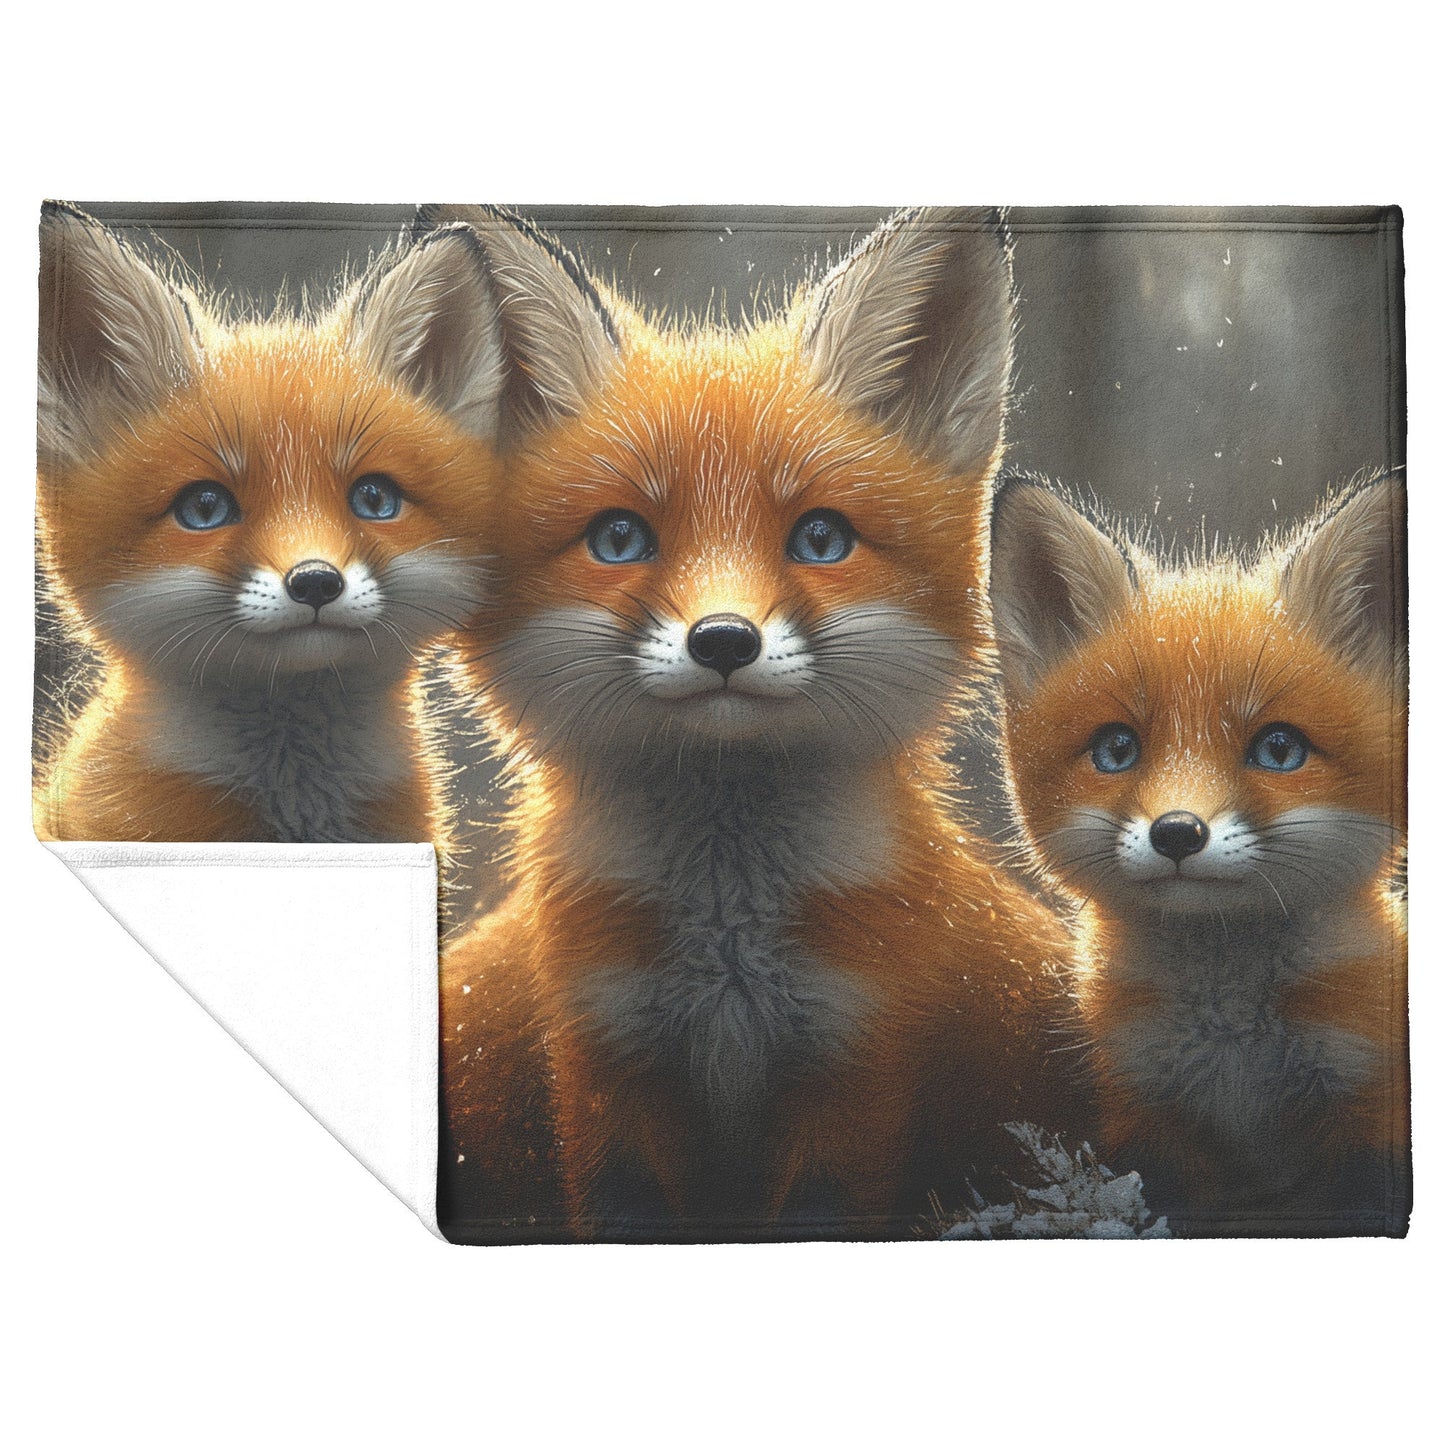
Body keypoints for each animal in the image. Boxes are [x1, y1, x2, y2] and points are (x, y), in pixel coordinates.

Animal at [434, 206, 1088, 1240]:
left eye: (819, 538)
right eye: (619, 537)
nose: (724, 640)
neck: (725, 962)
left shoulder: (858, 1065)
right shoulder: (607, 1064)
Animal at [988, 474, 1408, 1232]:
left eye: (1279, 749)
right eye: (1116, 749)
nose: (1177, 832)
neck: (1233, 1045)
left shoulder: (1369, 1112)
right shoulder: (1147, 1124)